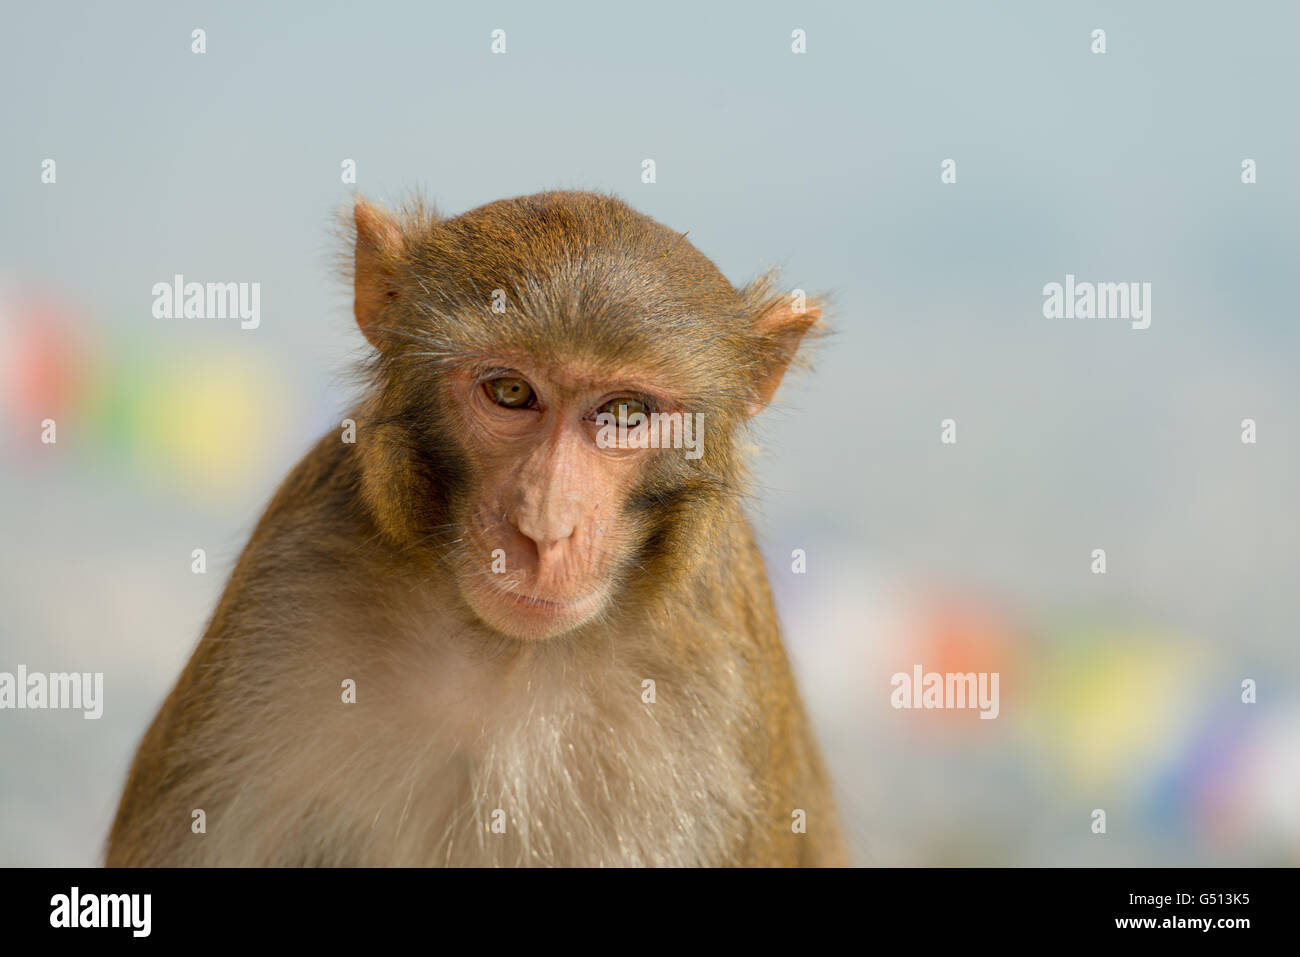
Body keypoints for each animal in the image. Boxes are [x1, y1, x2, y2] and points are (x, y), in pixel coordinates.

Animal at [106, 190, 847, 867]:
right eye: (512, 392)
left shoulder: (720, 678)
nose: (545, 528)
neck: (506, 655)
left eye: (625, 413)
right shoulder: (286, 586)